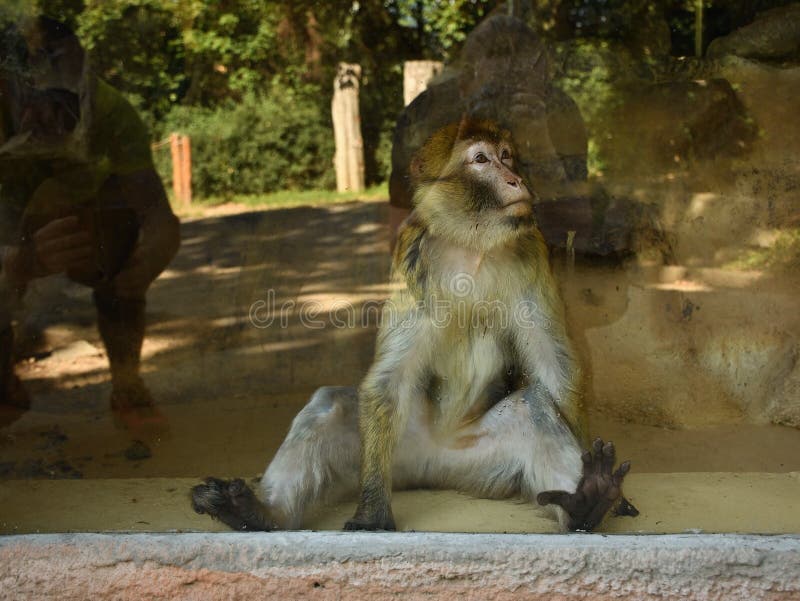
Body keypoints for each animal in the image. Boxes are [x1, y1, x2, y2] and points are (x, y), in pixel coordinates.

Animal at [191, 118, 638, 532]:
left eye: (507, 155)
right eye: (481, 160)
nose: (515, 180)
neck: (472, 245)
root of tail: (435, 463)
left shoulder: (532, 253)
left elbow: (553, 367)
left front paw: (603, 488)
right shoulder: (412, 256)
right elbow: (389, 376)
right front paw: (372, 512)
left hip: (481, 459)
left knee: (535, 405)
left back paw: (587, 502)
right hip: (392, 449)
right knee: (332, 404)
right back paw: (262, 513)